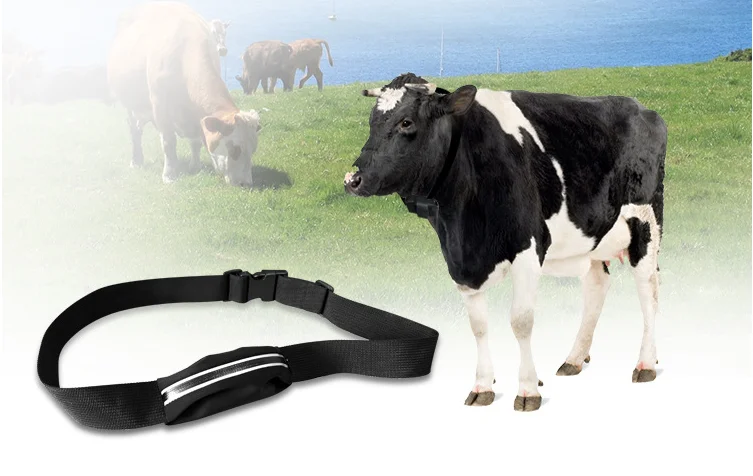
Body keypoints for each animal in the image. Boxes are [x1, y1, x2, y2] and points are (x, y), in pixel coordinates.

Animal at [107, 2, 260, 187]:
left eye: (253, 149)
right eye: (235, 149)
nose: (246, 183)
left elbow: (195, 142)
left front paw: (195, 166)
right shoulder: (159, 103)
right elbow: (168, 141)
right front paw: (169, 174)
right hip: (130, 104)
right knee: (134, 129)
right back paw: (136, 160)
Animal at [344, 73, 667, 412]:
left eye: (406, 122)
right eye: (372, 120)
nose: (353, 180)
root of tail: (640, 108)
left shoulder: (528, 247)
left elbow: (521, 321)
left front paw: (527, 389)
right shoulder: (461, 262)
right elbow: (479, 325)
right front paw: (483, 386)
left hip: (646, 222)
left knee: (648, 289)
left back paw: (646, 364)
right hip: (591, 236)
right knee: (597, 285)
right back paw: (574, 359)